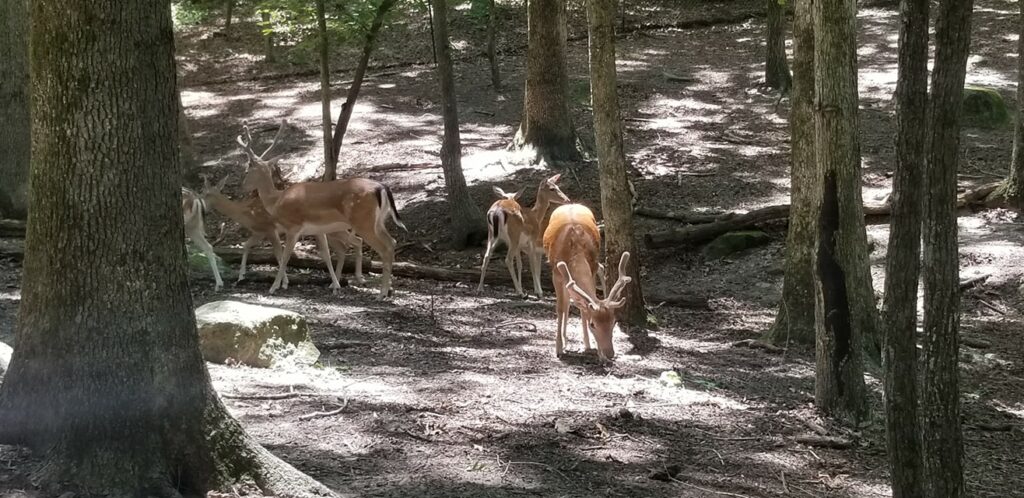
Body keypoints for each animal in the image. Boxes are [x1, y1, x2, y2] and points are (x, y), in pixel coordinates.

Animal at [200, 176, 364, 286]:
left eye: (206, 194)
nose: (202, 208)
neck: (245, 213)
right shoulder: (259, 232)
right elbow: (246, 246)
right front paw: (241, 276)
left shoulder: (269, 228)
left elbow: (279, 253)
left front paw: (284, 282)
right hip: (332, 231)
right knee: (348, 245)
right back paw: (338, 282)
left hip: (330, 230)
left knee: (349, 245)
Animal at [237, 121, 406, 298]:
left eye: (247, 171)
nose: (242, 187)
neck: (276, 200)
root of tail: (381, 188)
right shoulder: (316, 230)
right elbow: (325, 255)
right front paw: (335, 285)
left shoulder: (293, 226)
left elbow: (285, 256)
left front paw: (274, 287)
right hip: (377, 222)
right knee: (391, 242)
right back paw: (386, 289)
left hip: (364, 222)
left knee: (384, 248)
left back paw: (381, 293)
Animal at [543, 203, 632, 361]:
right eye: (593, 324)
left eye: (613, 321)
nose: (610, 353)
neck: (575, 250)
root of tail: (570, 203)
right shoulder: (556, 273)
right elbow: (560, 308)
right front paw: (558, 349)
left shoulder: (592, 267)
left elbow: (585, 308)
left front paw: (595, 351)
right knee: (566, 303)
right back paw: (564, 341)